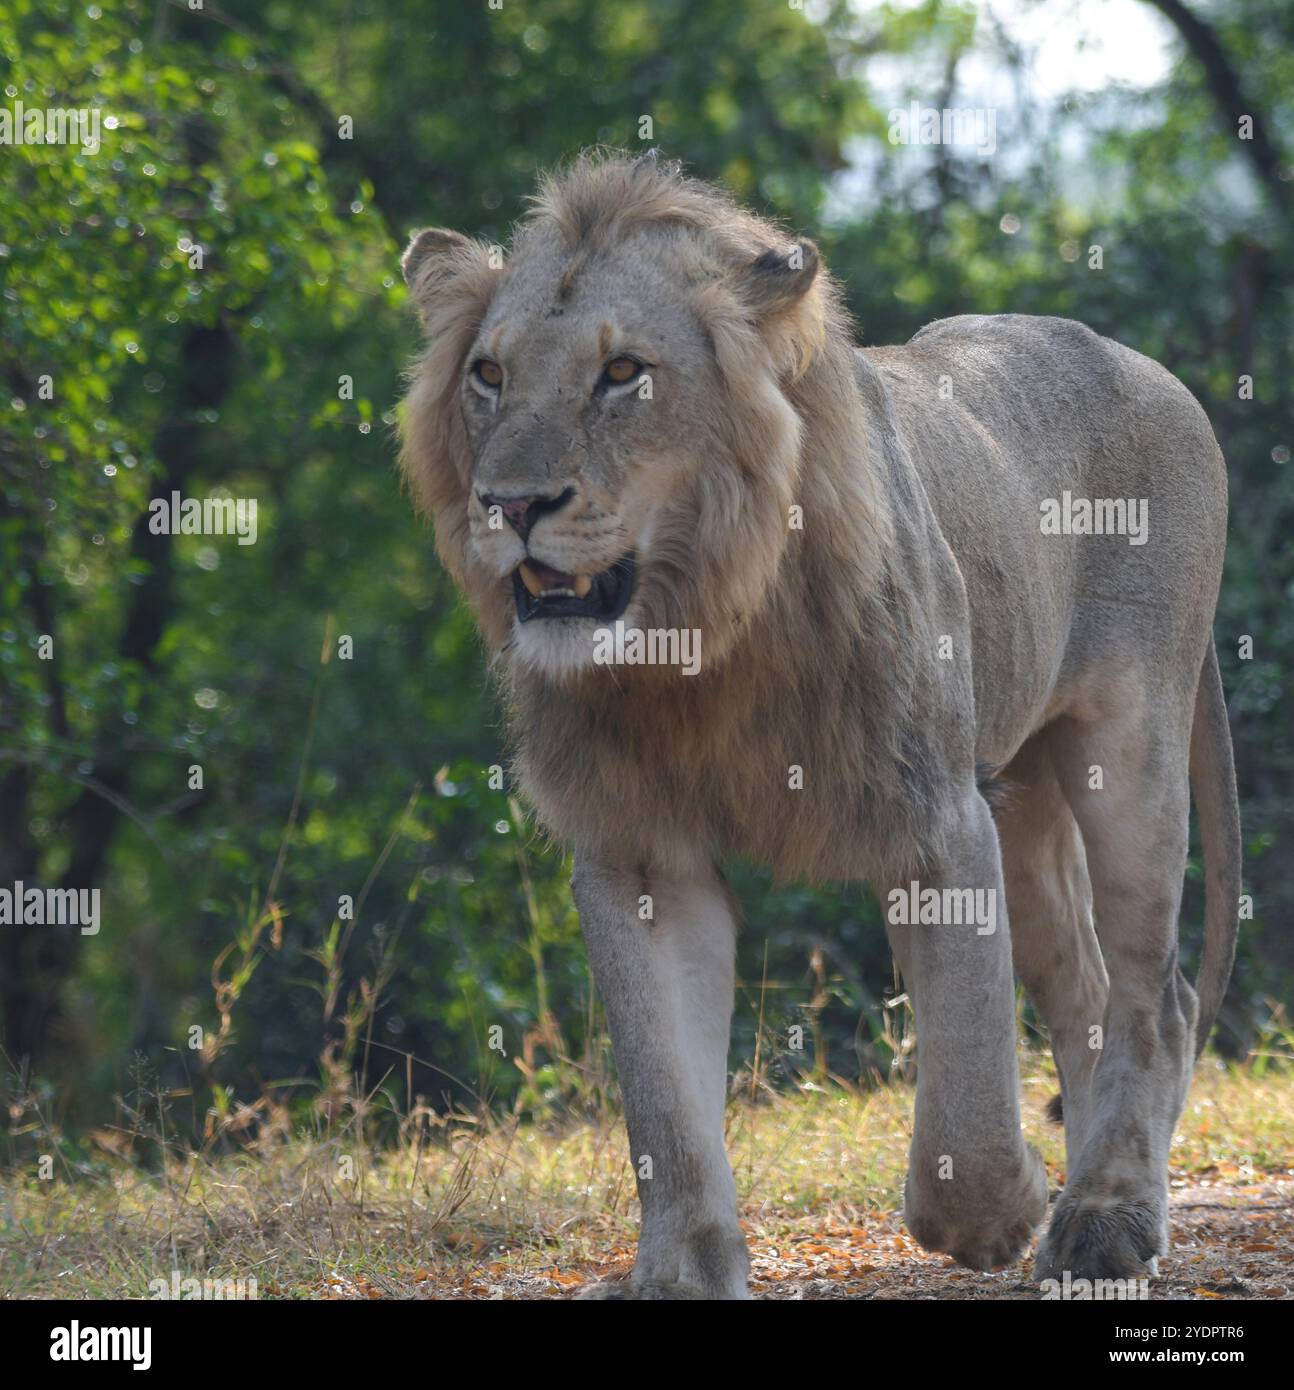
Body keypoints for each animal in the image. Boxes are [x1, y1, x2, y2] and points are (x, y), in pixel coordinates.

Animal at [398, 151, 1241, 1299]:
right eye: (487, 374)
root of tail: (1137, 359)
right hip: (1022, 793)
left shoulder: (937, 821)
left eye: (622, 374)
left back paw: (1104, 1216)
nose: (510, 505)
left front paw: (995, 1213)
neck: (695, 640)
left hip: (1131, 746)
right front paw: (680, 1273)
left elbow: (967, 1091)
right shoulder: (640, 853)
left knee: (1157, 995)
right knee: (1088, 988)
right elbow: (664, 1105)